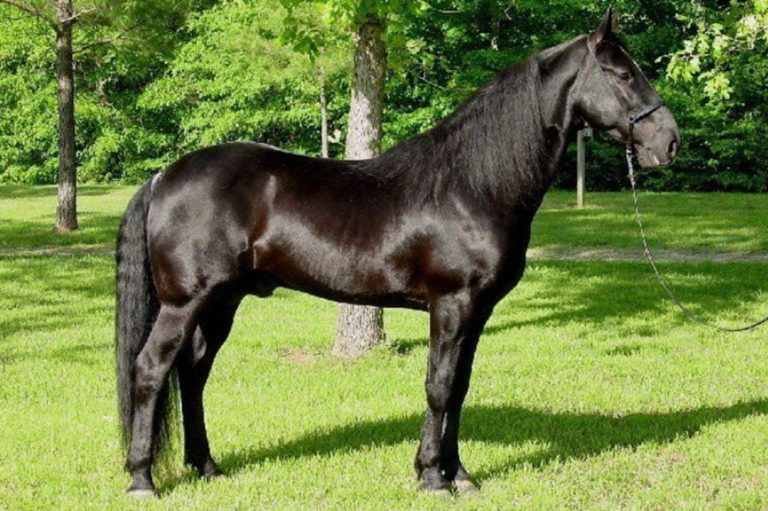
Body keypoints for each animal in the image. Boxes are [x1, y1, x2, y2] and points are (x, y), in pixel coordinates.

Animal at [115, 7, 680, 497]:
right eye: (621, 73)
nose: (669, 142)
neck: (471, 185)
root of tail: (164, 176)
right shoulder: (451, 306)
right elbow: (439, 386)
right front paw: (432, 476)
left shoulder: (477, 312)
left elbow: (460, 388)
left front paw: (459, 473)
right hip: (185, 303)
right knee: (150, 370)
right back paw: (142, 479)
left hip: (222, 301)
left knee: (193, 372)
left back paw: (207, 466)